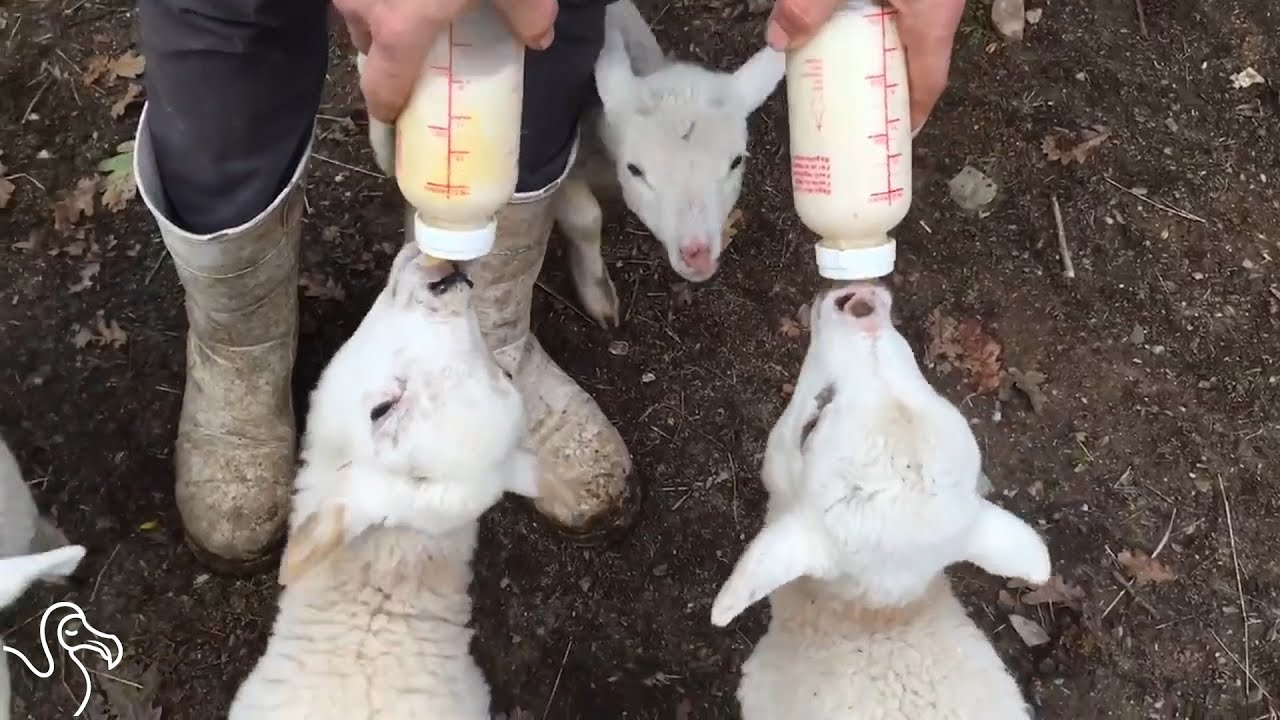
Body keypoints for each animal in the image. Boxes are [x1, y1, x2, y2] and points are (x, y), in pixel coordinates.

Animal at [358, 0, 786, 328]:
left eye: (736, 162)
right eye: (636, 170)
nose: (696, 254)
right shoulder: (563, 167)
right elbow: (586, 219)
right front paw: (597, 293)